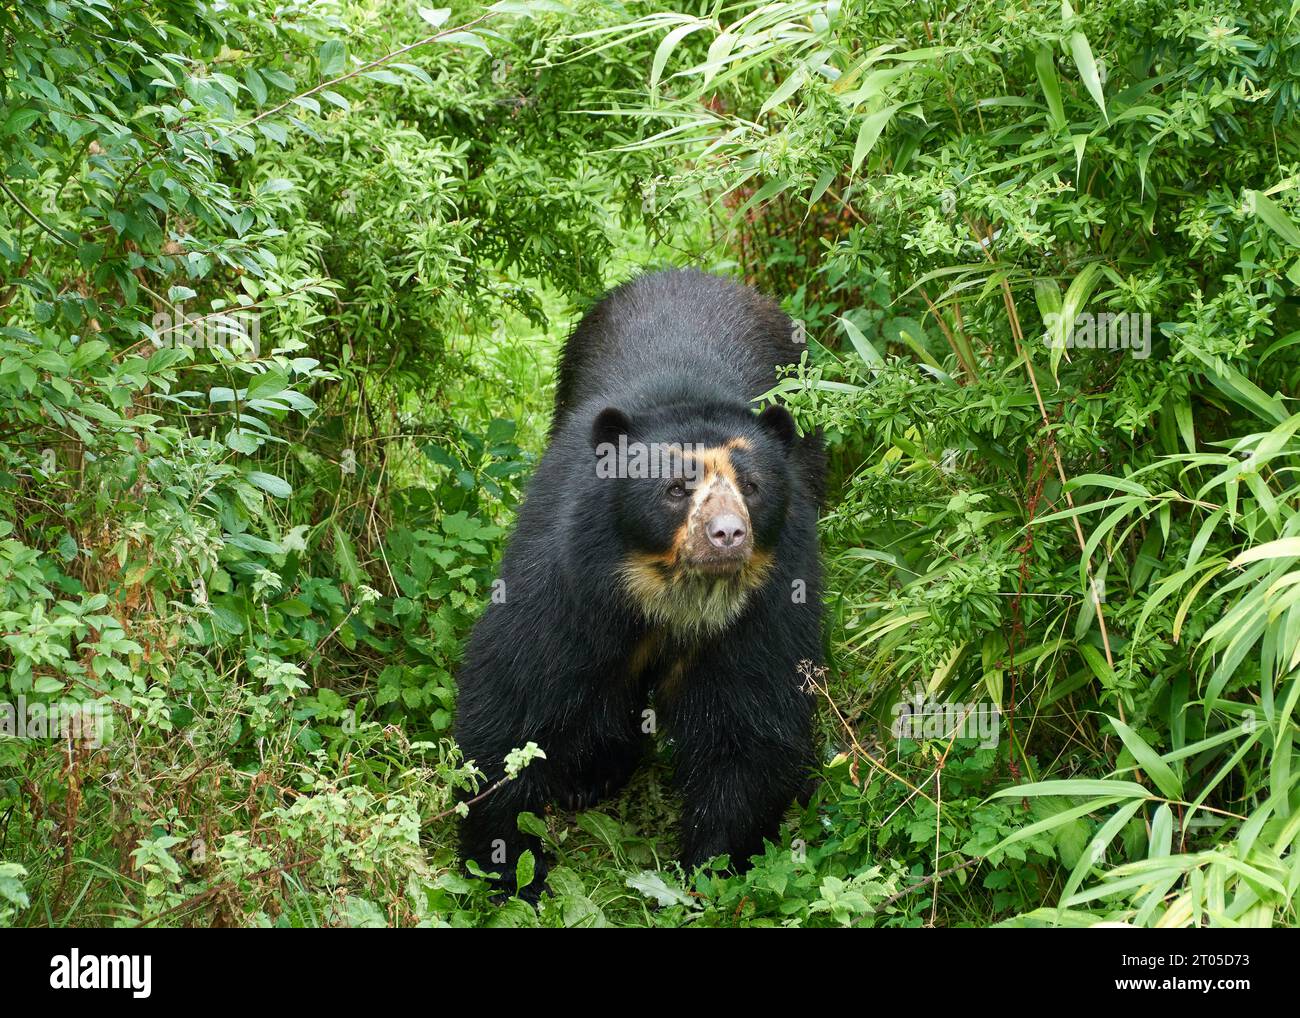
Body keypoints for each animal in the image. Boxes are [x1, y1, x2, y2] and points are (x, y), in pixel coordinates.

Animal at [454, 268, 824, 896]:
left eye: (751, 486)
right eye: (675, 488)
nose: (728, 535)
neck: (671, 590)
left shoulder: (771, 597)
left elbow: (752, 720)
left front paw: (712, 868)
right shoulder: (567, 577)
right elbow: (515, 700)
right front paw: (509, 866)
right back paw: (591, 777)